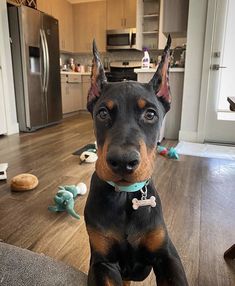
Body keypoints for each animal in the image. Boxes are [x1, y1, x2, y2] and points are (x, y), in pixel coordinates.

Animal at [83, 36, 188, 286]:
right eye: (102, 113)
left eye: (150, 114)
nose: (123, 162)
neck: (125, 196)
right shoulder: (102, 263)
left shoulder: (167, 255)